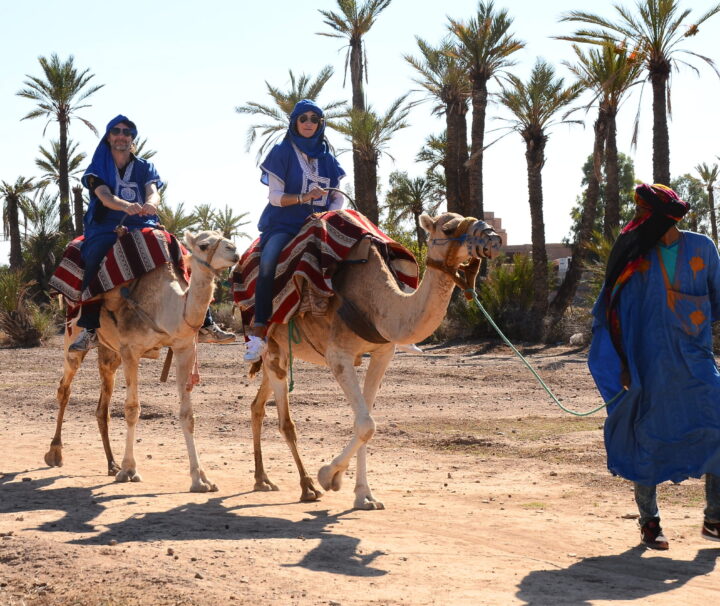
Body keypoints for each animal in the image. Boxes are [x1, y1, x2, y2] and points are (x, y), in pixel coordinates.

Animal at [45, 230, 240, 492]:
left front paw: (201, 479)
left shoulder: (184, 347)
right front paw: (129, 470)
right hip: (72, 337)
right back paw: (55, 453)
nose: (234, 250)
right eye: (203, 245)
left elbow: (187, 415)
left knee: (102, 407)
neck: (165, 306)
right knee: (64, 388)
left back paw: (111, 464)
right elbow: (131, 409)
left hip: (110, 354)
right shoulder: (131, 351)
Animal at [248, 212, 502, 509]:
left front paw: (364, 495)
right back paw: (307, 487)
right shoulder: (339, 355)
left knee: (257, 406)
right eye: (449, 228)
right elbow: (366, 424)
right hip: (272, 346)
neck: (377, 302)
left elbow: (366, 422)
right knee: (285, 422)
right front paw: (328, 477)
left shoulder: (383, 353)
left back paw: (262, 479)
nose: (494, 238)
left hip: (280, 353)